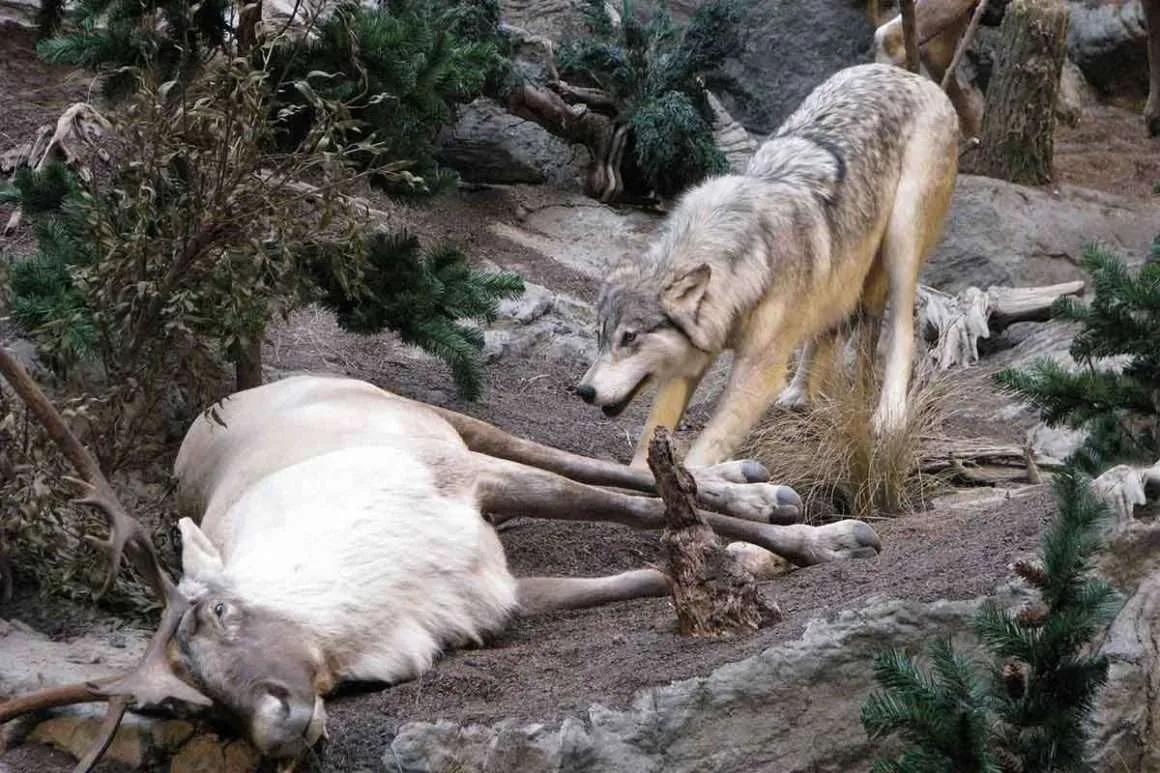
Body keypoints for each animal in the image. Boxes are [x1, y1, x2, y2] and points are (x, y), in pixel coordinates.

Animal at [574, 62, 960, 470]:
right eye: (601, 336)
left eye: (630, 338)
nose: (584, 391)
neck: (747, 268)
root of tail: (908, 74)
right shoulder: (693, 363)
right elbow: (653, 433)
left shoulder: (758, 373)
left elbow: (704, 450)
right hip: (841, 271)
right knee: (829, 329)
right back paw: (800, 393)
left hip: (902, 238)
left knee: (901, 327)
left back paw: (889, 416)